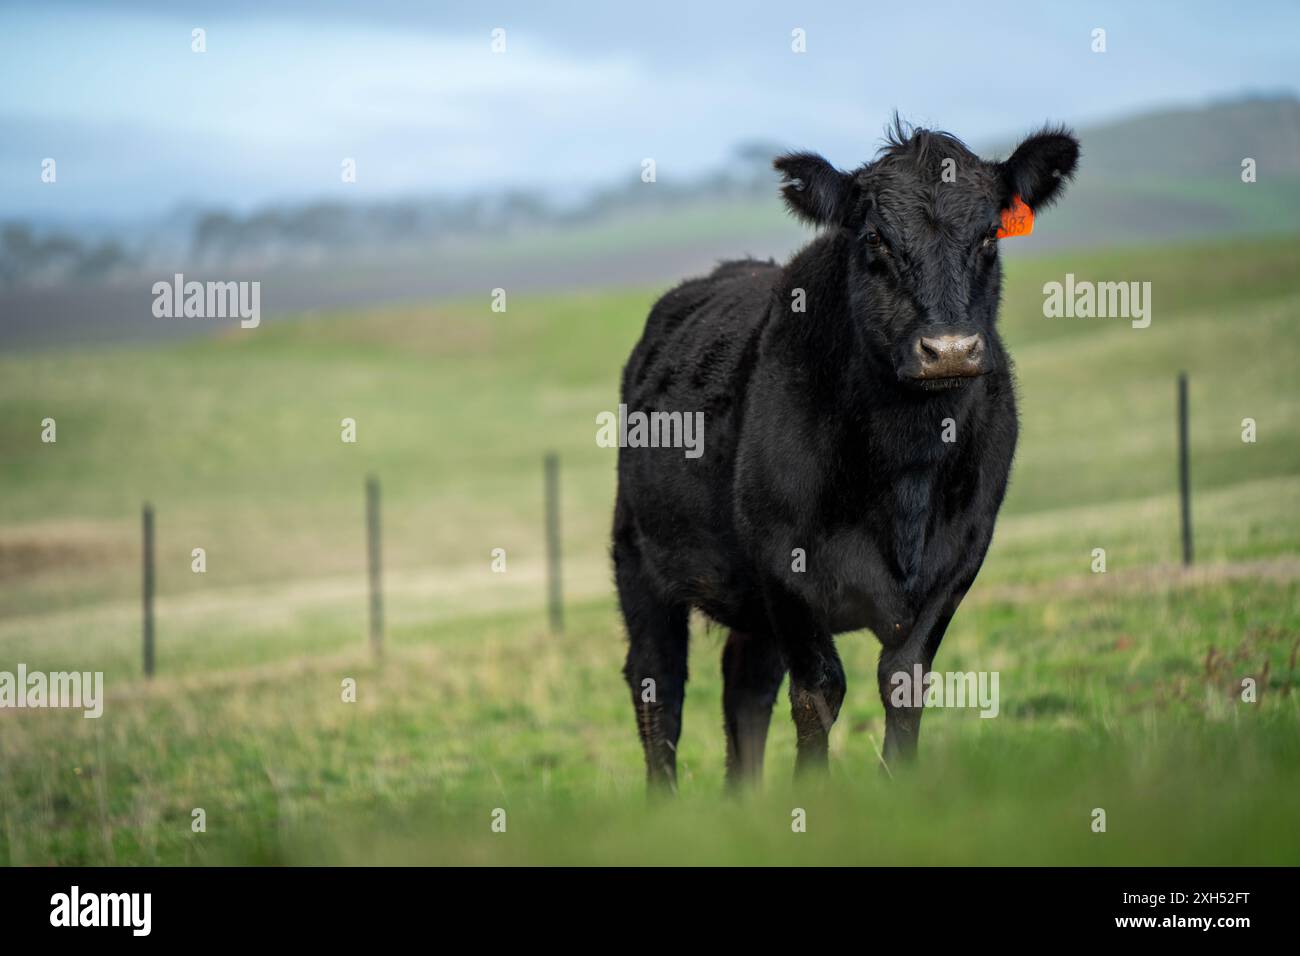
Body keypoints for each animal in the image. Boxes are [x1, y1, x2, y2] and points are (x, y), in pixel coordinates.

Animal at [612, 118, 1079, 791]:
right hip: (638, 553)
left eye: (990, 234)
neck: (906, 463)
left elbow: (904, 684)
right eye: (875, 238)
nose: (949, 350)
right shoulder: (784, 565)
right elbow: (818, 693)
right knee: (658, 681)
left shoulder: (959, 560)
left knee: (744, 686)